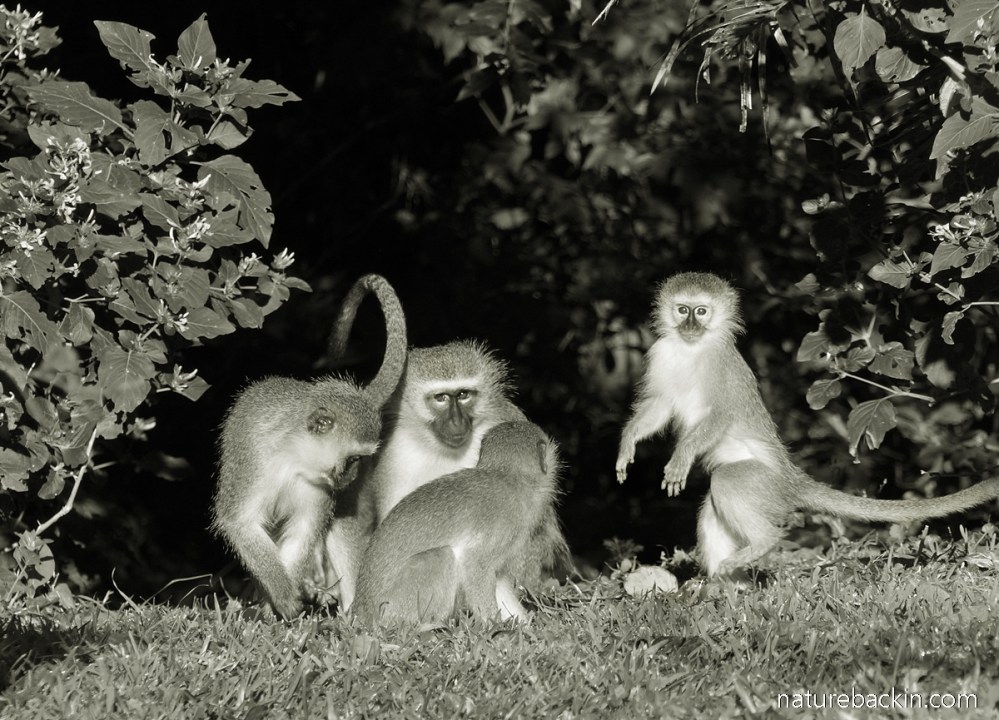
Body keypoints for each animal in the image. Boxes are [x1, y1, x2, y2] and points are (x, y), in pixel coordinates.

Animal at [212, 274, 407, 619]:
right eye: (352, 459)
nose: (352, 477)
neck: (292, 454)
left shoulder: (318, 486)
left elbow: (303, 530)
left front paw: (281, 604)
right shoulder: (254, 460)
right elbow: (241, 523)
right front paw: (283, 599)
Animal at [352, 420, 562, 627]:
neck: (507, 475)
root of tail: (362, 613)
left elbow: (498, 579)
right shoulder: (506, 523)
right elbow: (476, 566)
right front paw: (492, 625)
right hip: (393, 606)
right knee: (442, 556)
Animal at [615, 271, 999, 577]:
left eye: (702, 311)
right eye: (683, 309)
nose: (691, 326)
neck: (692, 349)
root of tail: (791, 478)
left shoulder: (721, 364)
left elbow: (722, 415)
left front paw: (681, 457)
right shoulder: (661, 354)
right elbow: (660, 406)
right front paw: (627, 444)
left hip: (763, 483)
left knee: (727, 482)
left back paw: (763, 543)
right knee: (713, 508)